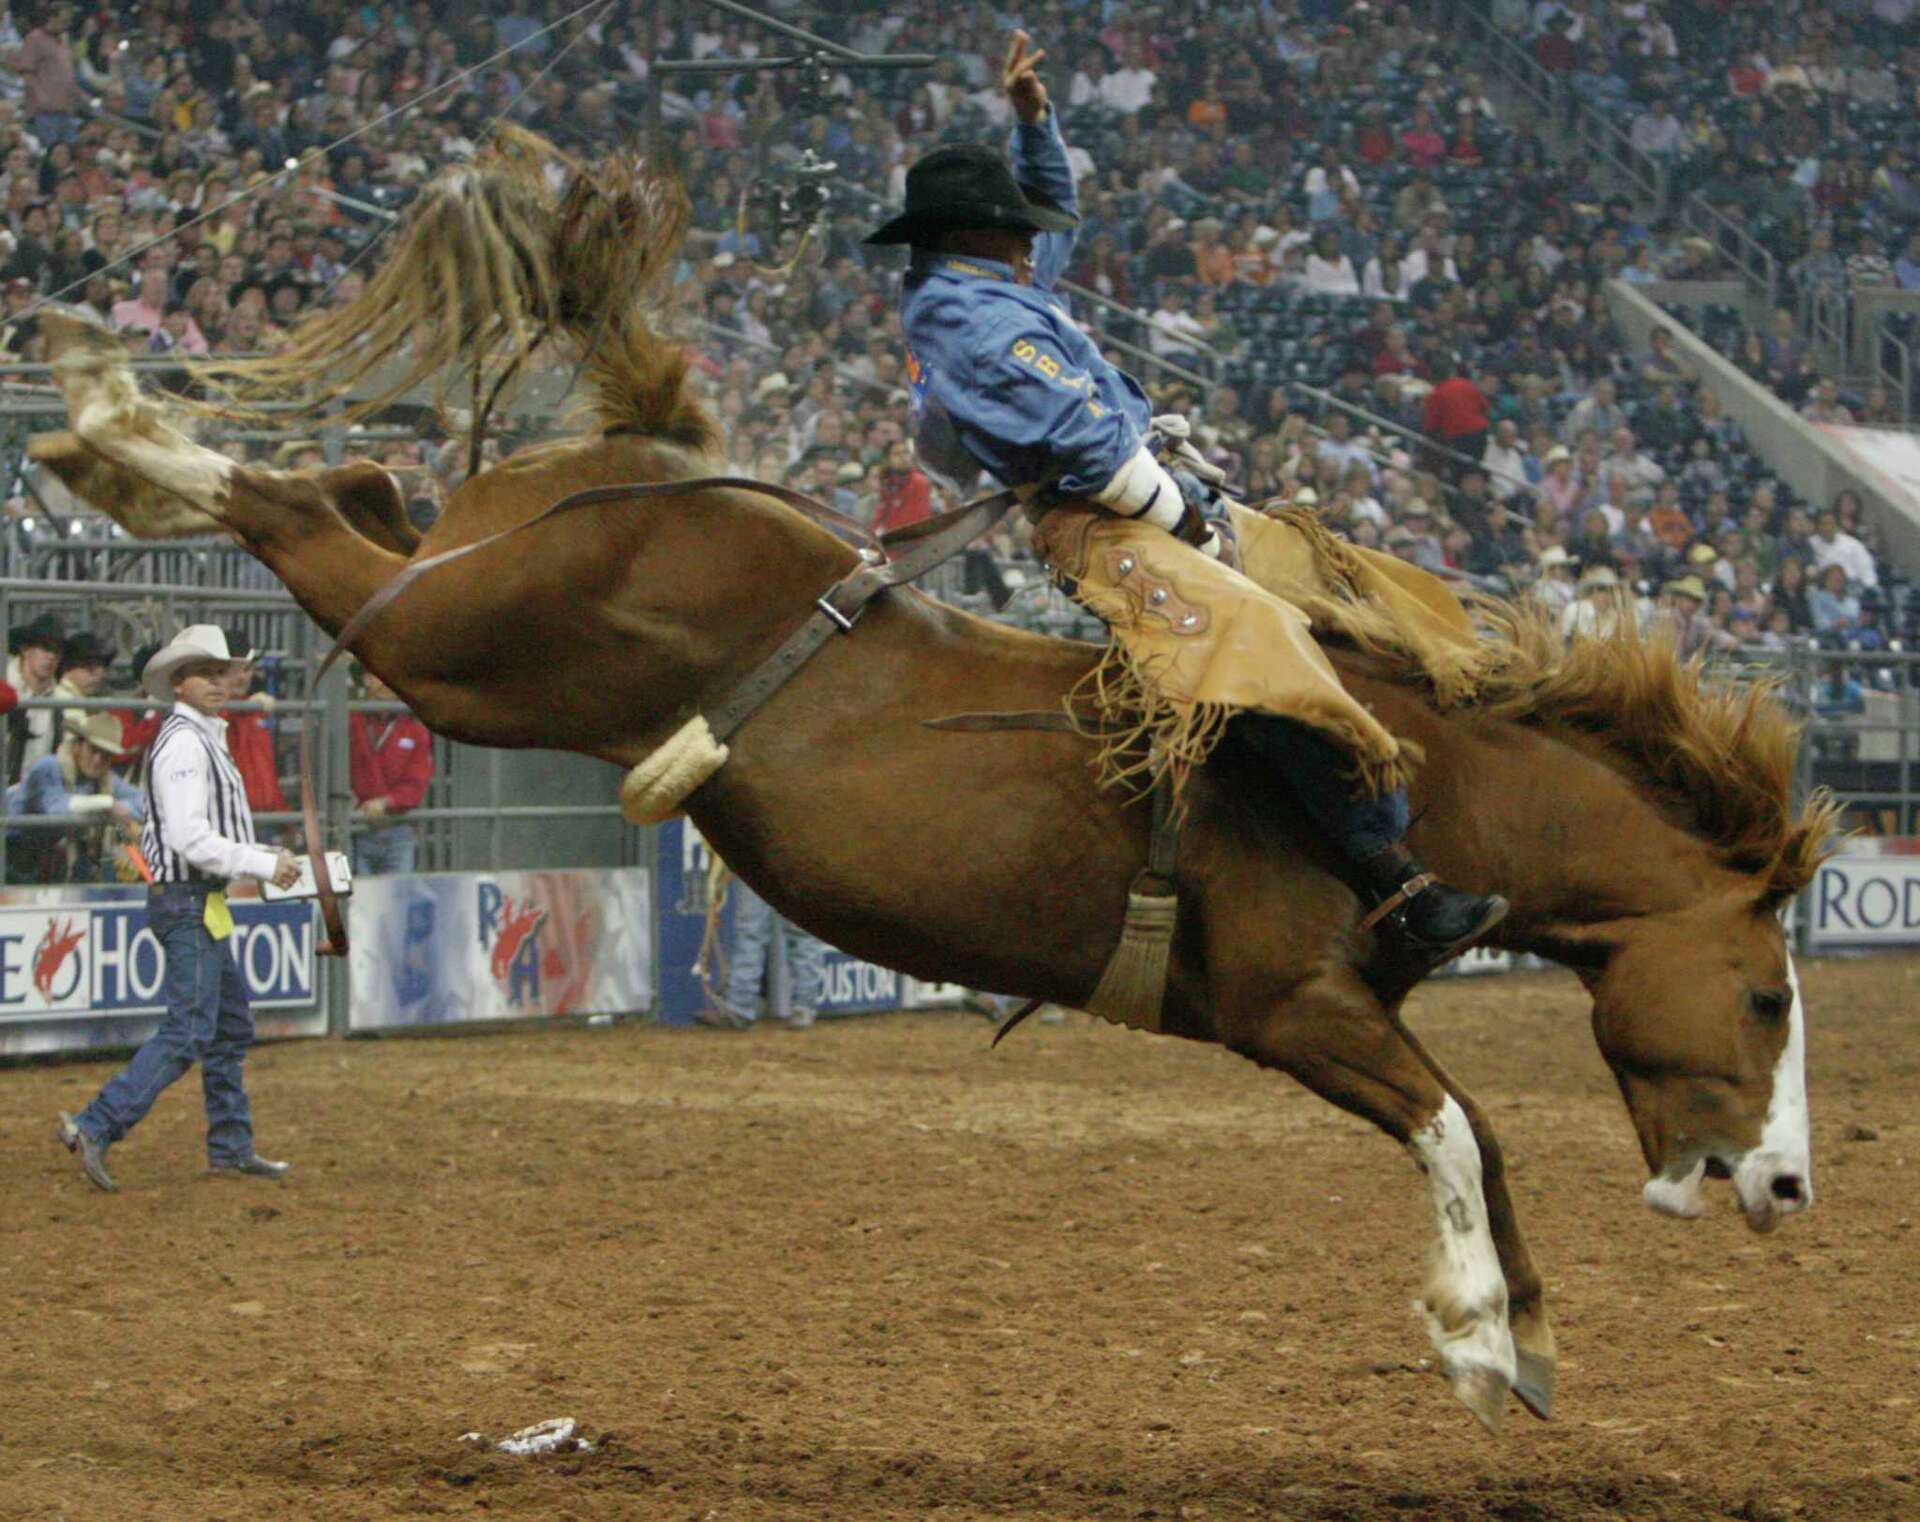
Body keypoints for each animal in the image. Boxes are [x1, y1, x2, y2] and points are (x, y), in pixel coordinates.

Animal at [26, 132, 1834, 1436]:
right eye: (1762, 994)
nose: (1783, 1184)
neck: (1415, 776)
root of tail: (650, 459)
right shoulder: (1292, 1005)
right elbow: (1460, 1123)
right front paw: (1472, 1334)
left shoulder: (1347, 1012)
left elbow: (1483, 1134)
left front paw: (1523, 1339)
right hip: (468, 645)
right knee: (290, 514)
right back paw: (107, 417)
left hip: (462, 593)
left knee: (356, 491)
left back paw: (126, 430)